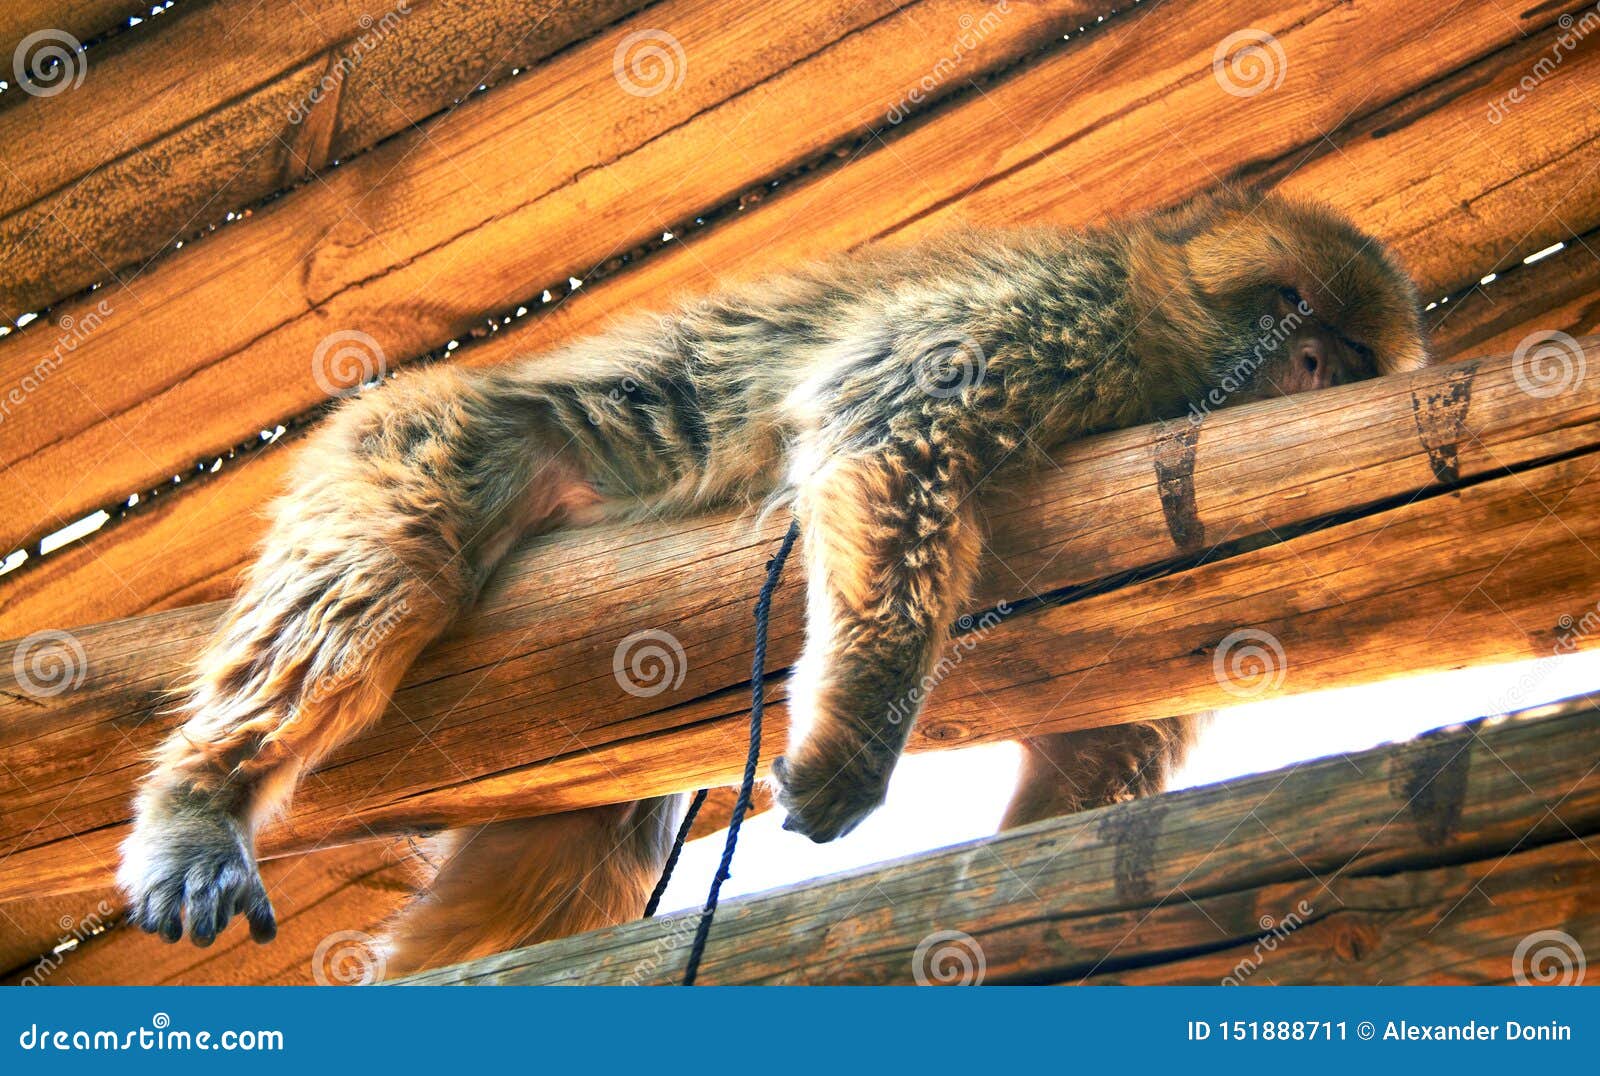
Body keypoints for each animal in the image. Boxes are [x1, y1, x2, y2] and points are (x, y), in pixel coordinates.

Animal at [116, 189, 1427, 975]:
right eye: (1290, 322)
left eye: (1341, 353)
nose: (1311, 369)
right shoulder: (1067, 315)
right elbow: (890, 428)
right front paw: (858, 725)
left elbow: (1107, 735)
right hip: (415, 431)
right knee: (377, 565)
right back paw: (205, 794)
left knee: (603, 828)